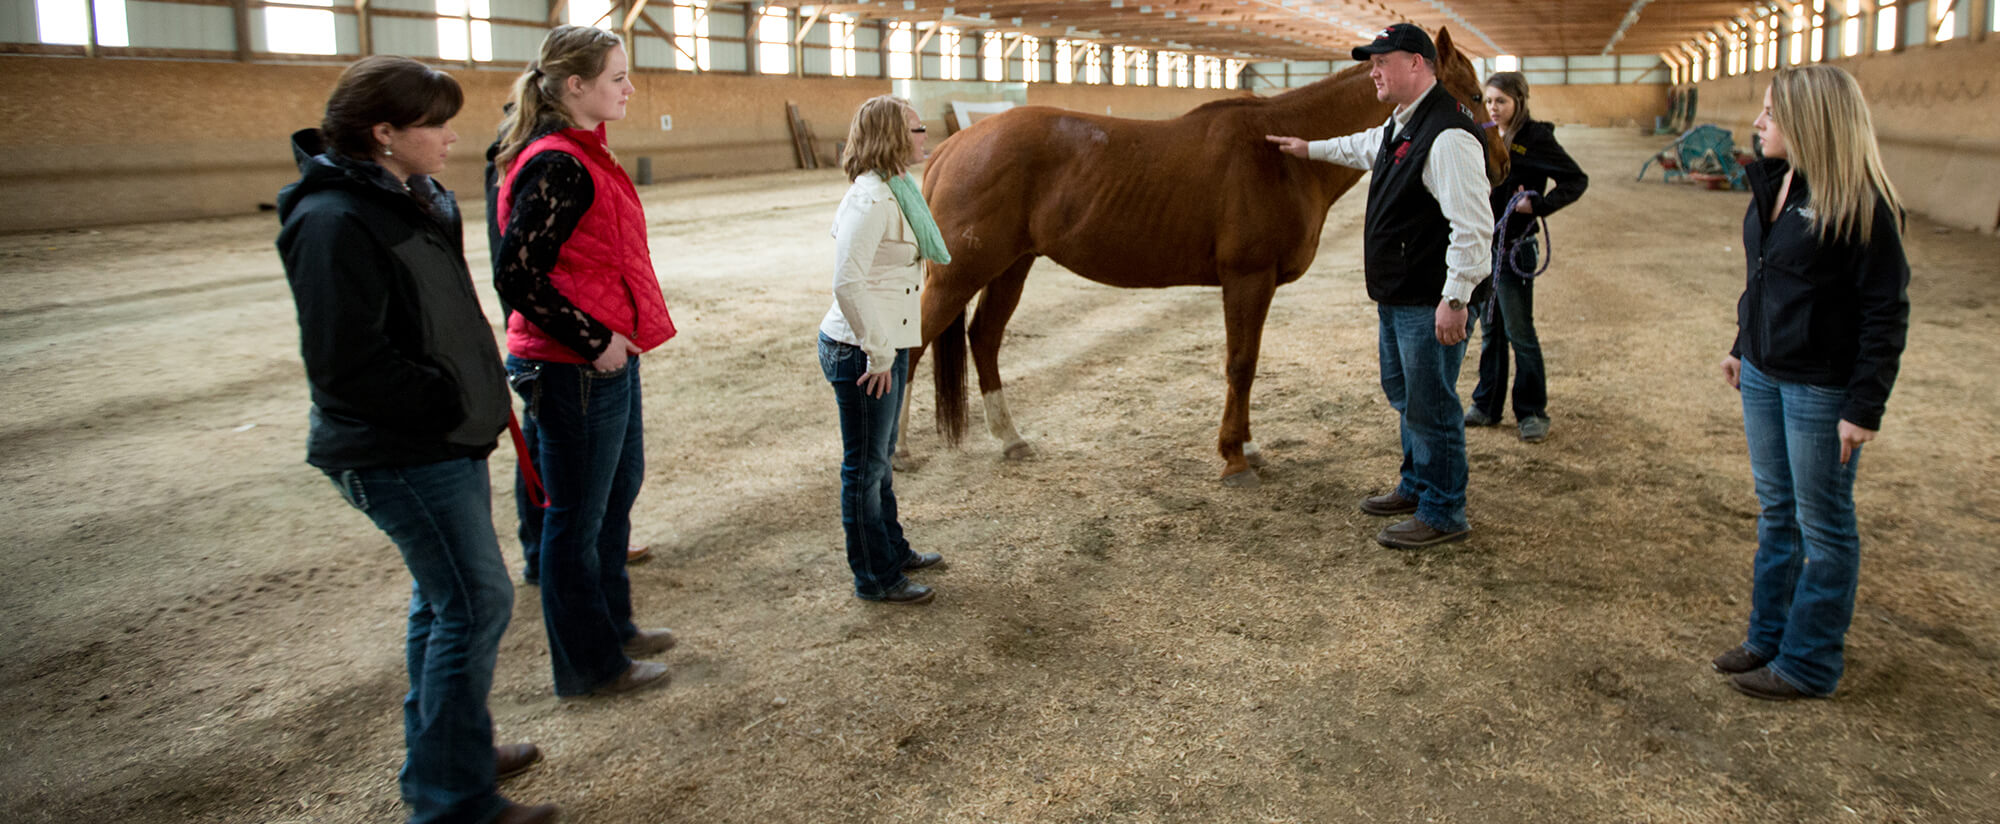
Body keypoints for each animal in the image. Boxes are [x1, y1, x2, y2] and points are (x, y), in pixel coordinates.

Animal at [908, 29, 1504, 486]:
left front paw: (1248, 446)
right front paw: (1234, 459)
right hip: (959, 275)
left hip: (1013, 265)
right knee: (911, 348)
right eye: (1473, 95)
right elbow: (1240, 365)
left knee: (984, 337)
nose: (1498, 167)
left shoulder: (1257, 285)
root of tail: (952, 147)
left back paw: (1011, 439)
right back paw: (899, 455)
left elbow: (1250, 363)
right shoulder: (1247, 279)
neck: (1279, 157)